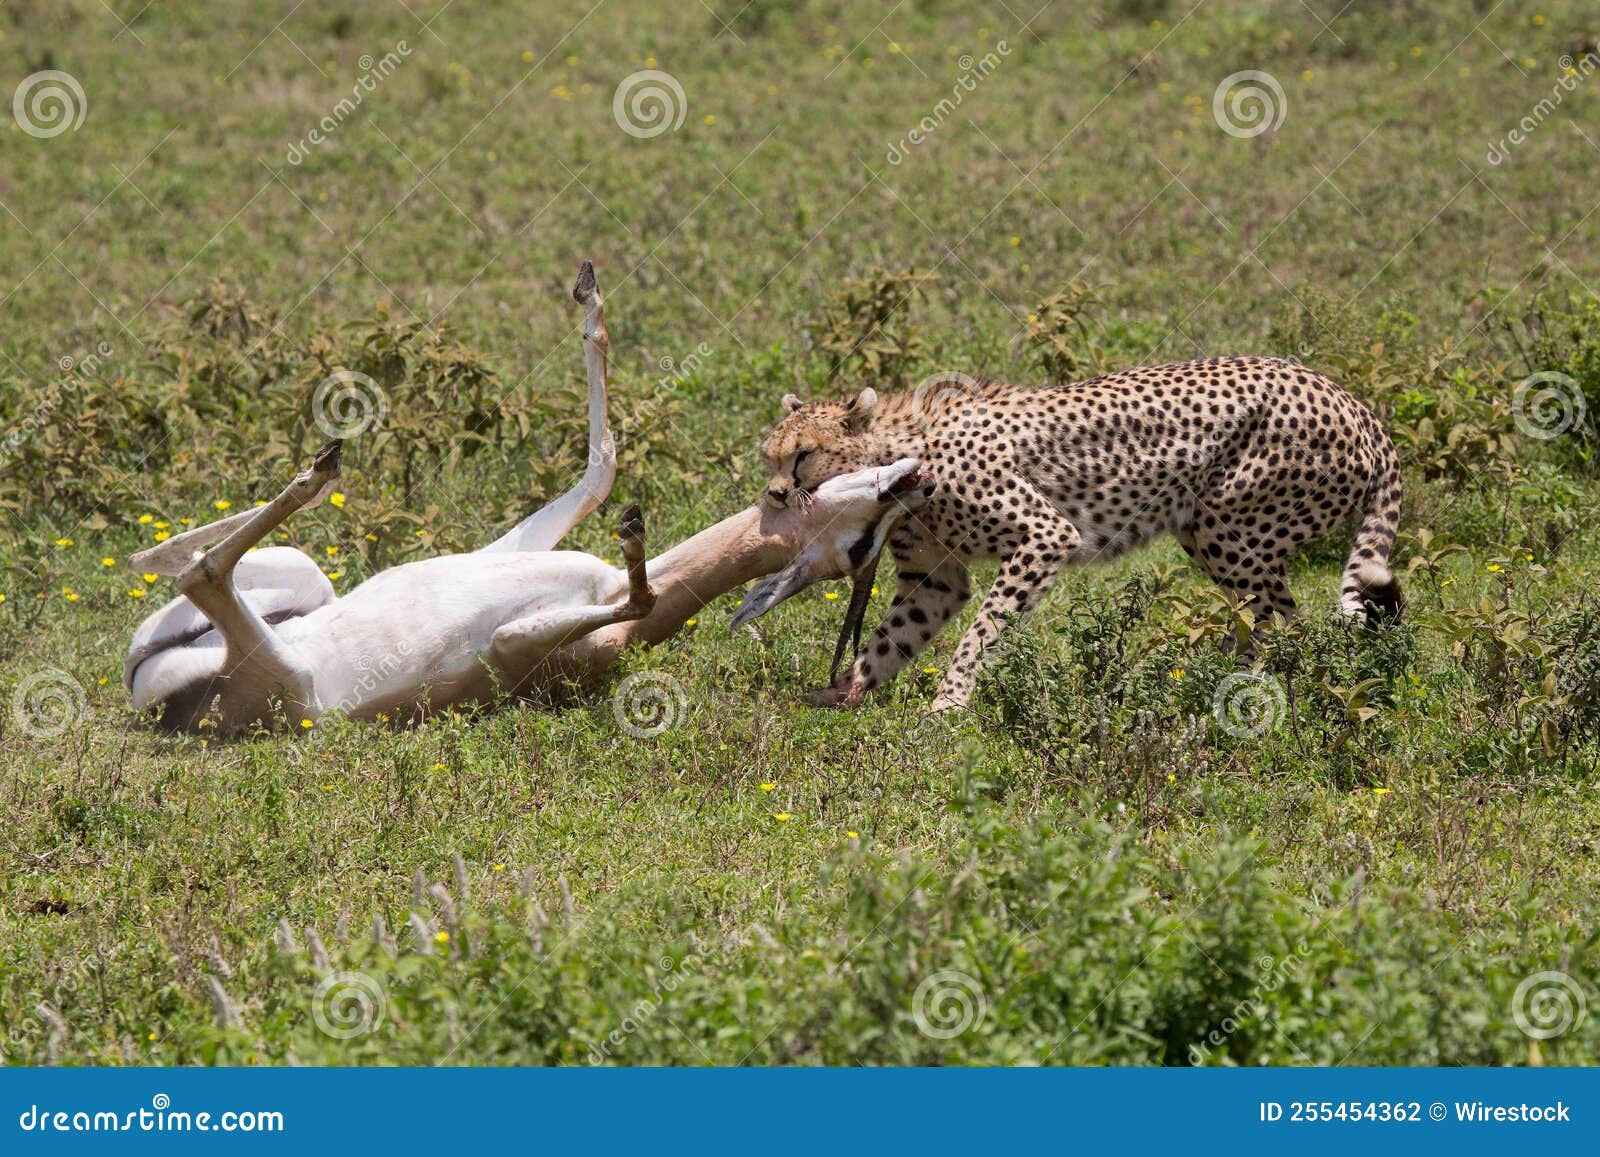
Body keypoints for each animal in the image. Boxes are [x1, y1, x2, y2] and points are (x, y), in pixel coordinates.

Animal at [123, 262, 935, 733]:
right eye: (863, 539)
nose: (915, 480)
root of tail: (166, 704)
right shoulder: (511, 547)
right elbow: (603, 466)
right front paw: (591, 296)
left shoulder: (519, 649)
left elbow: (633, 586)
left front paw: (636, 543)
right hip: (301, 578)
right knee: (172, 561)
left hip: (291, 680)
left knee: (203, 572)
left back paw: (321, 468)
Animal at [760, 356, 1404, 712]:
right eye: (770, 456)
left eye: (803, 455)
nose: (773, 495)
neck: (901, 457)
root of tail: (1346, 395)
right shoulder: (934, 577)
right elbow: (894, 635)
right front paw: (847, 689)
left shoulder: (1045, 535)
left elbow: (982, 632)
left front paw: (949, 702)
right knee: (1275, 616)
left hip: (1223, 523)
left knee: (1284, 618)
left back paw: (1240, 685)